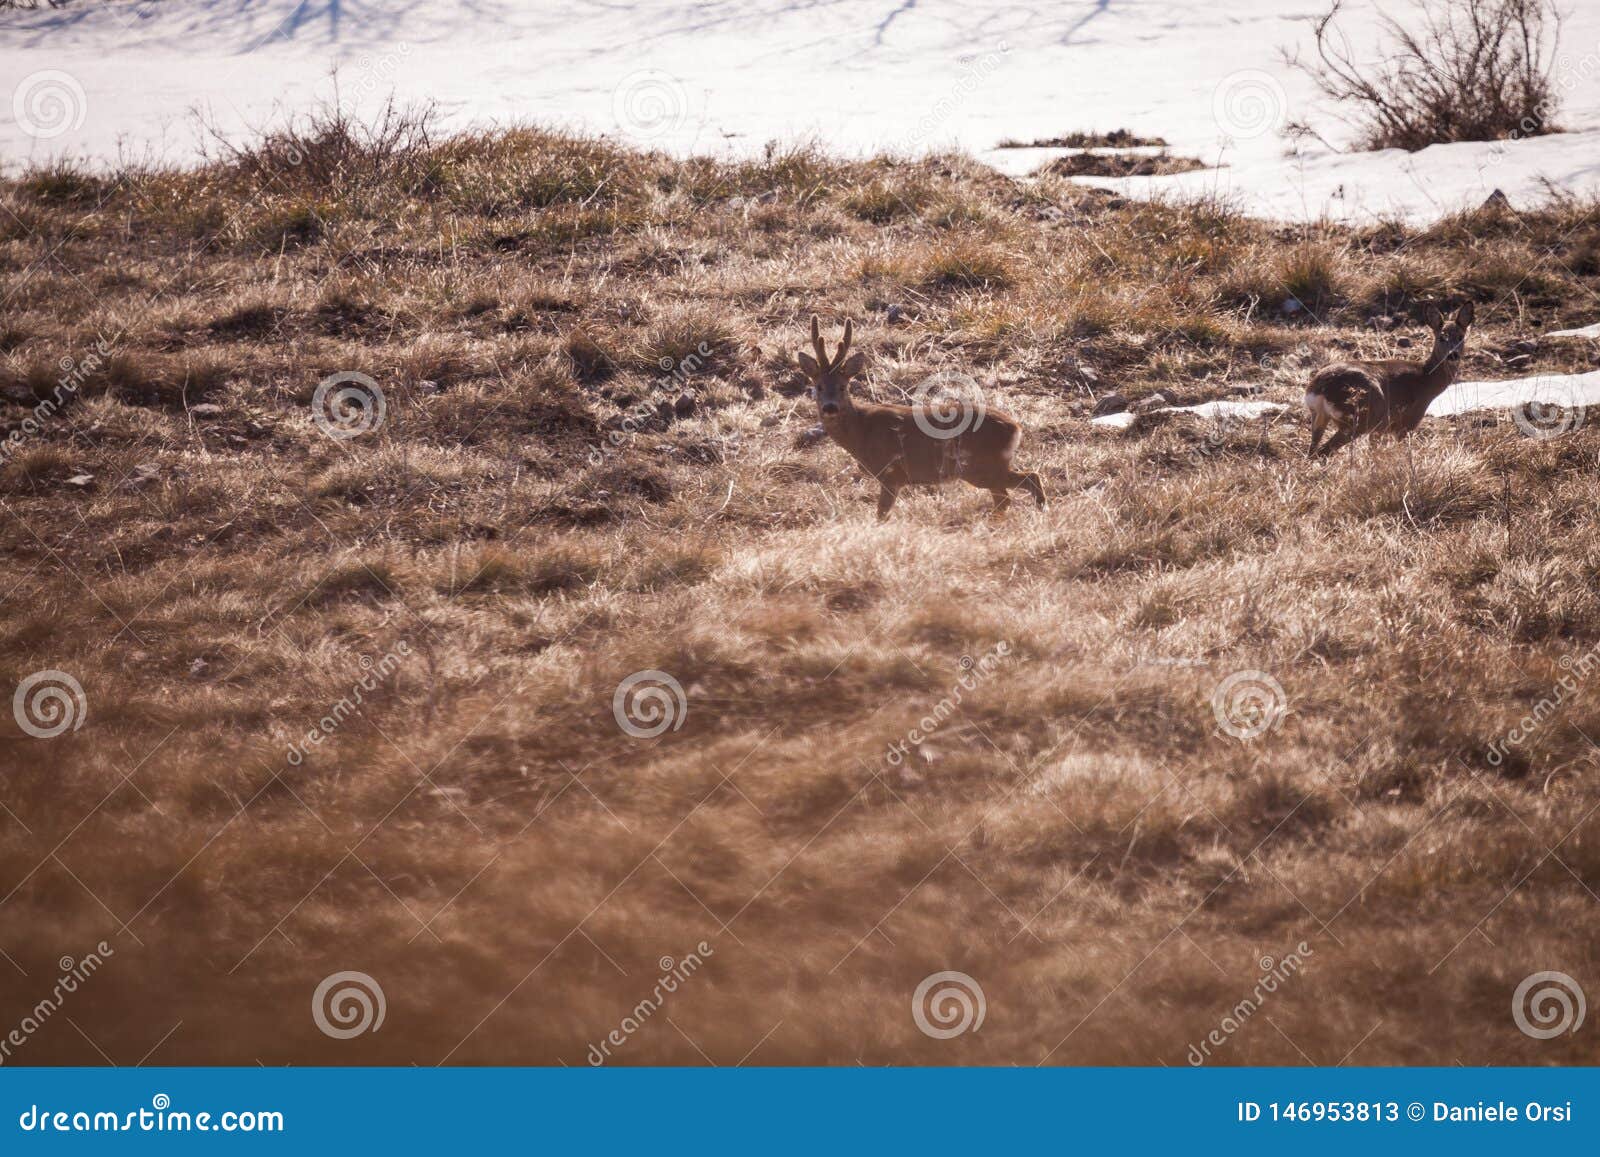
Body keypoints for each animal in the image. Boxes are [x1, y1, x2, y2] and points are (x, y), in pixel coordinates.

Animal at [797, 316, 1046, 519]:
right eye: (818, 386)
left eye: (842, 386)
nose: (830, 407)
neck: (862, 430)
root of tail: (1015, 428)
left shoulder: (892, 474)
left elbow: (881, 514)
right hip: (989, 467)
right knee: (1010, 494)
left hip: (980, 467)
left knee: (1024, 483)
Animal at [1305, 302, 1475, 458]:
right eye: (1441, 337)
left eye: (1461, 337)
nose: (1453, 355)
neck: (1426, 378)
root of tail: (1320, 388)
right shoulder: (1406, 422)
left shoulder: (1379, 429)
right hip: (1359, 418)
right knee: (1323, 451)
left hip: (1320, 417)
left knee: (1312, 451)